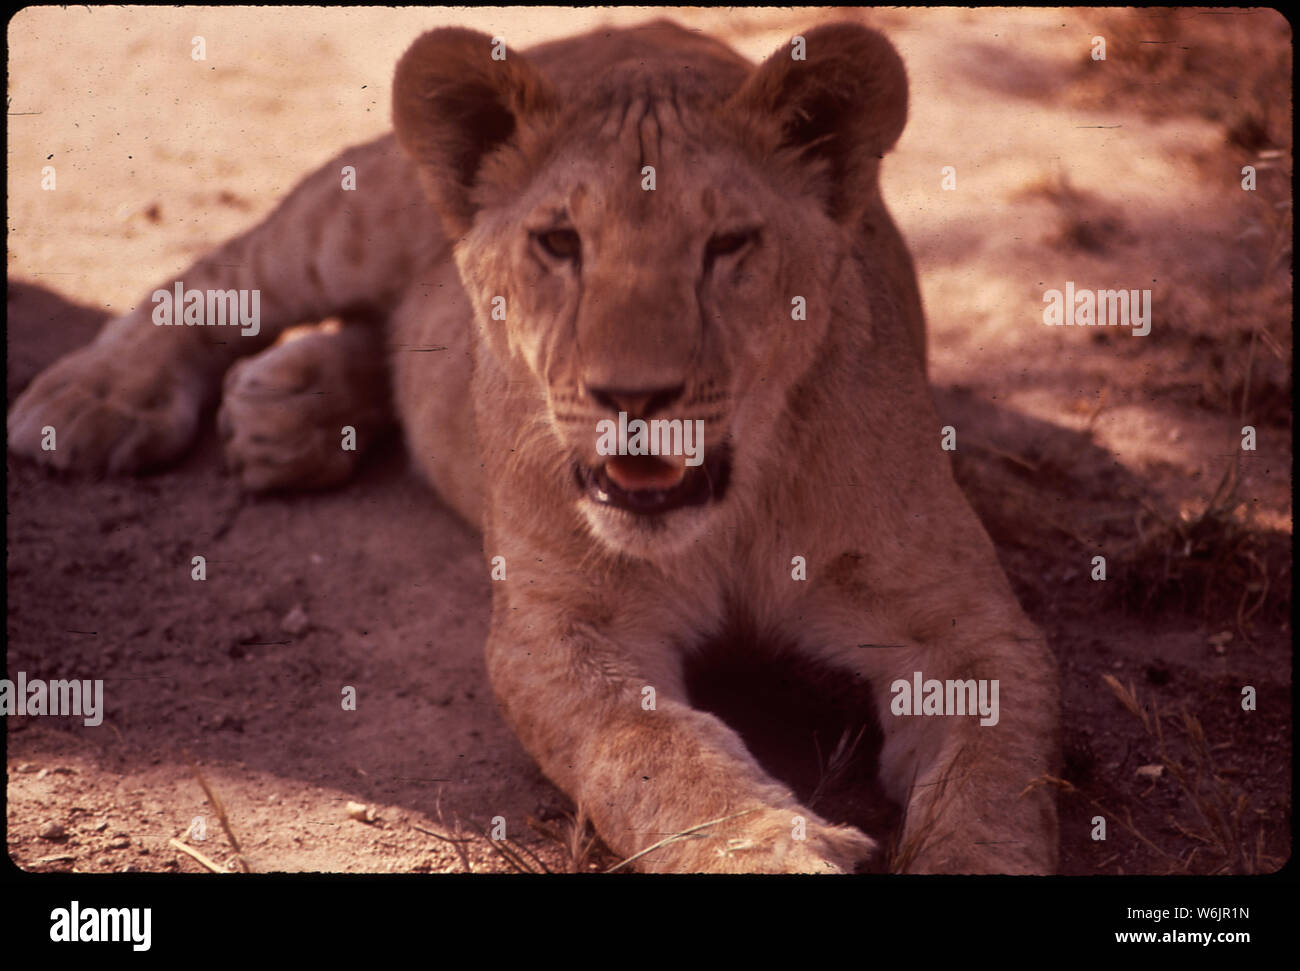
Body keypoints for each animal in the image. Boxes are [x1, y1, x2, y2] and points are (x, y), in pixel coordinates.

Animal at [7, 19, 1059, 873]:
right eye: (561, 243)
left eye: (728, 245)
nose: (633, 395)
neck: (733, 510)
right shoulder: (557, 623)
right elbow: (650, 752)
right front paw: (770, 849)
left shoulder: (964, 626)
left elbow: (1000, 787)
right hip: (350, 215)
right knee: (226, 272)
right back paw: (99, 399)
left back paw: (289, 409)